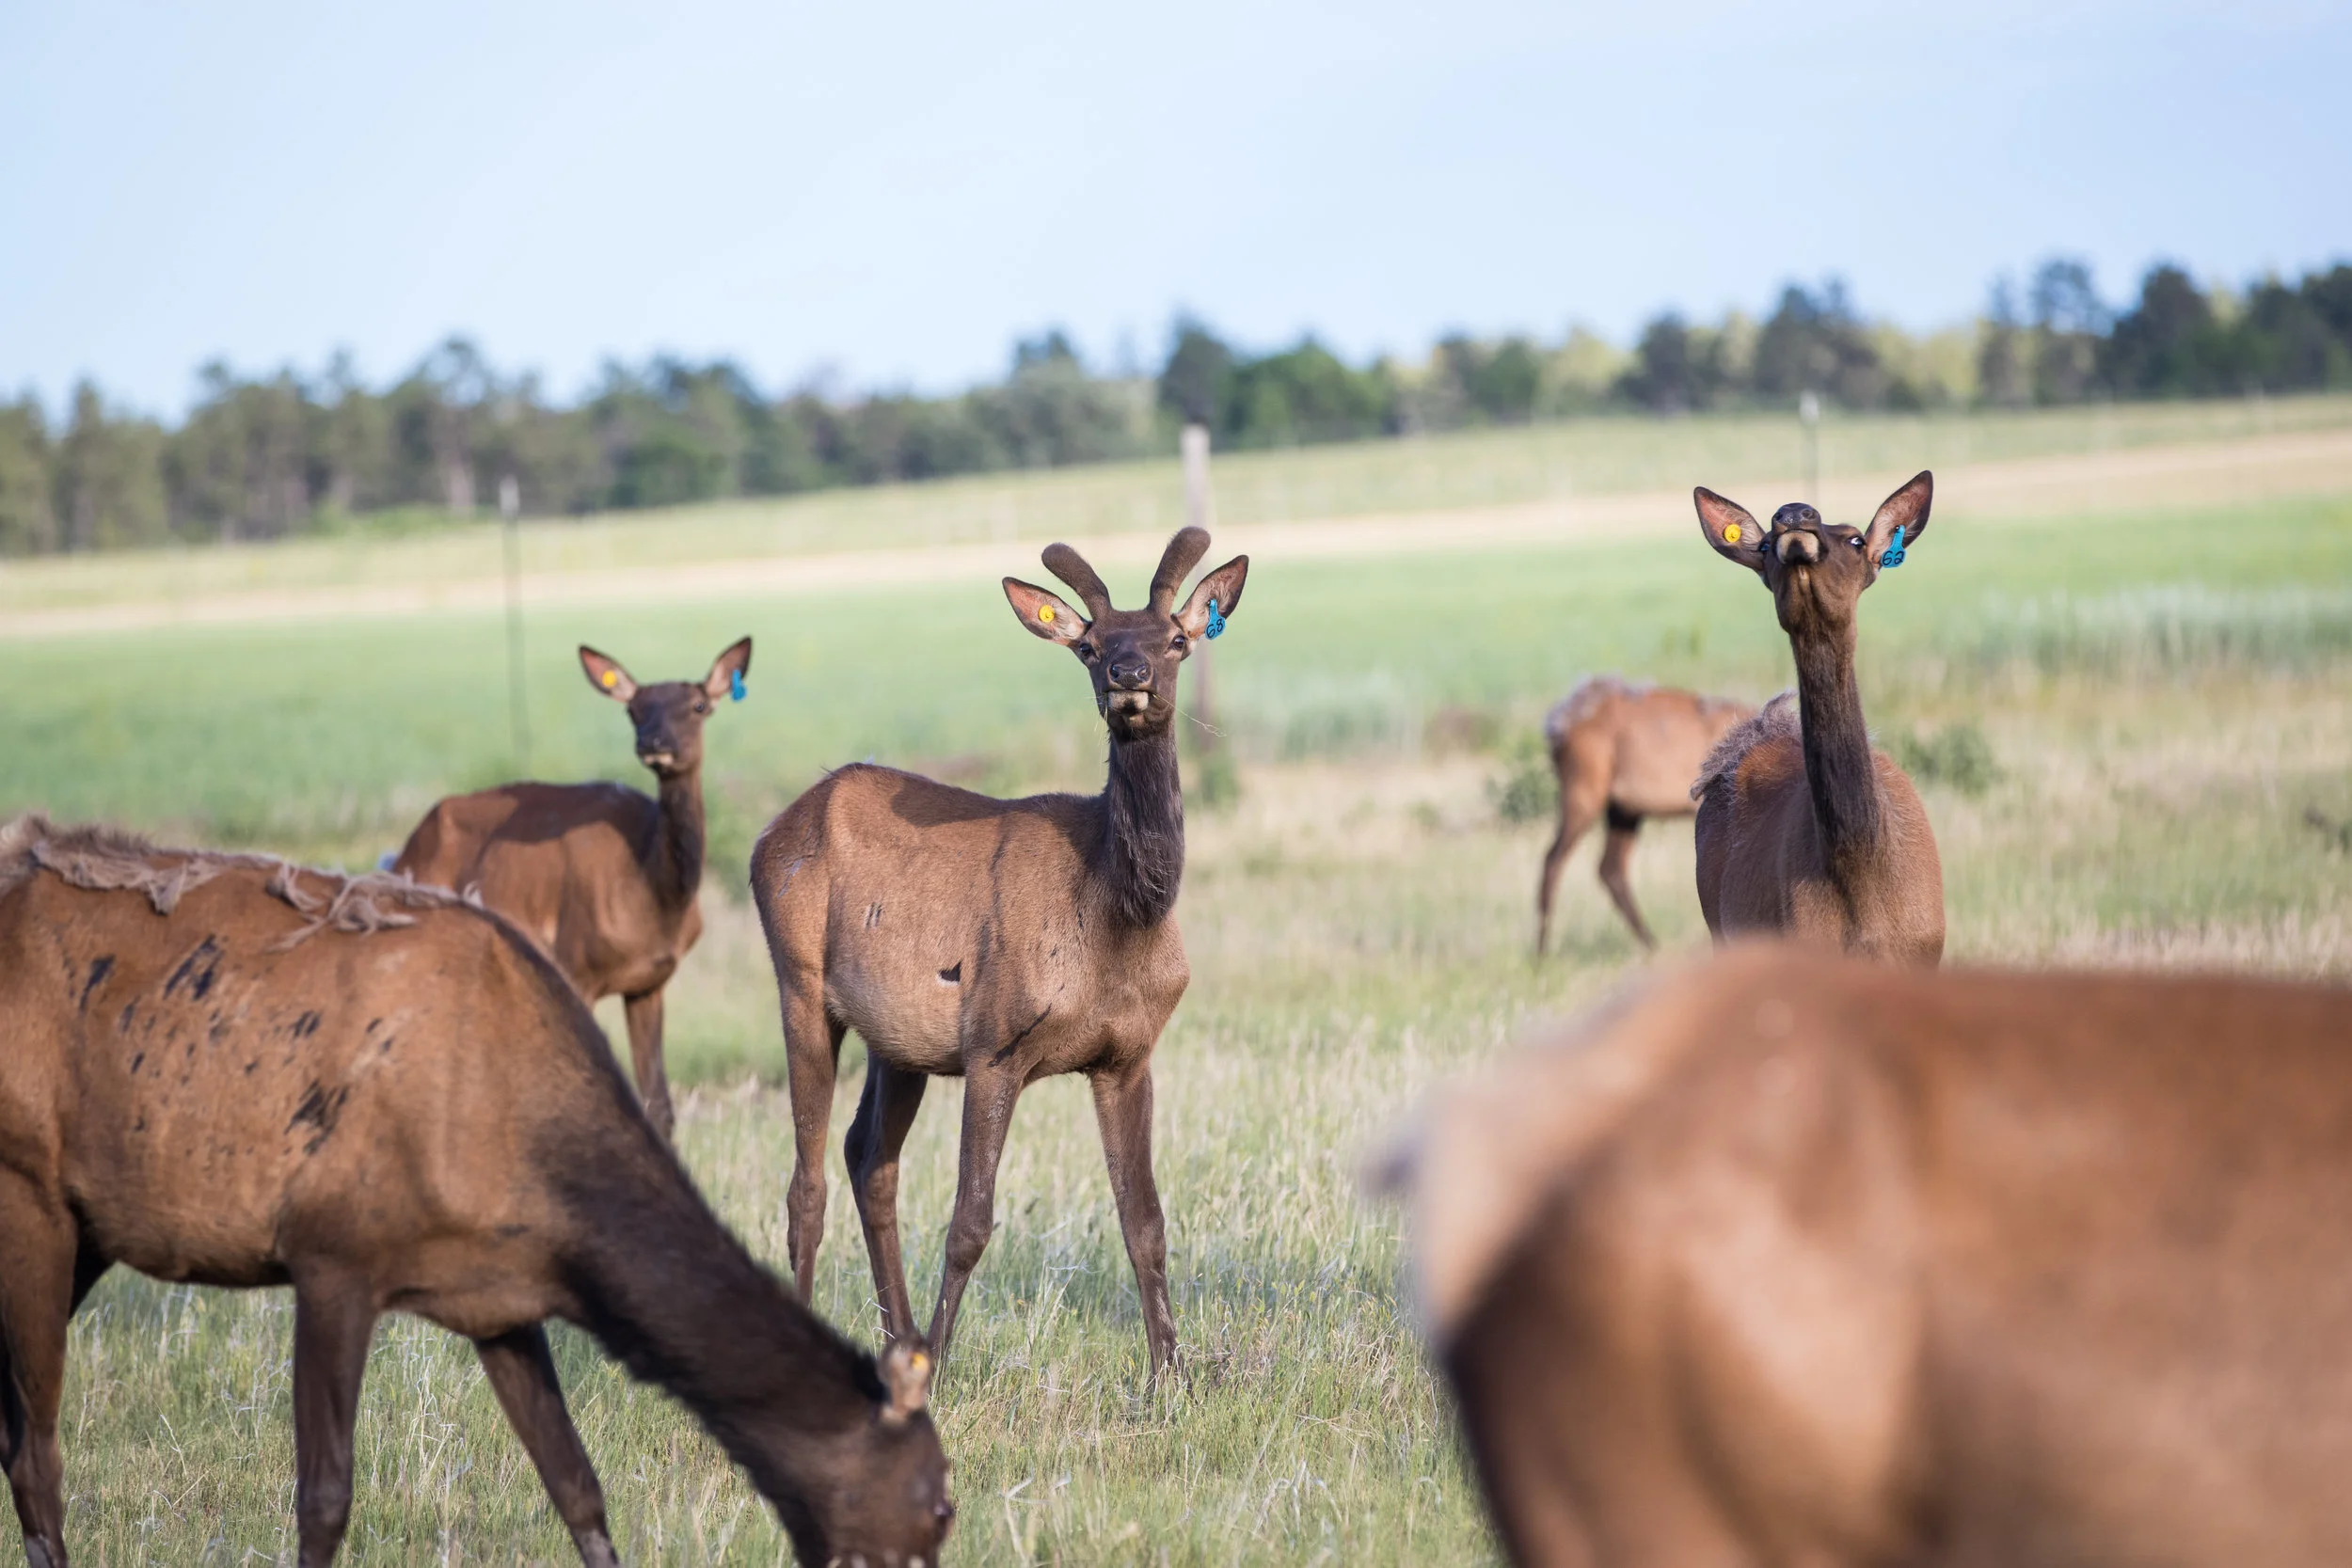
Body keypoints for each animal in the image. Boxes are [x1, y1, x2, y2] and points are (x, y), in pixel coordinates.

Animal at [0, 814, 952, 1568]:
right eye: (940, 1503)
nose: (942, 1515)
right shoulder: (334, 1256)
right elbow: (324, 1499)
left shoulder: (501, 1297)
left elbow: (579, 1486)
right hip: (29, 1189)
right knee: (37, 1451)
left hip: (86, 1227)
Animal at [392, 637, 752, 1139]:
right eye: (634, 710)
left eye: (699, 705)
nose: (654, 743)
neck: (655, 896)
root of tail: (404, 851)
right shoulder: (576, 962)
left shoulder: (650, 982)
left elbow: (659, 1104)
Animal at [750, 525, 1246, 1381]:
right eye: (1088, 645)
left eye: (1177, 638)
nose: (1130, 675)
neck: (1118, 916)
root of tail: (766, 838)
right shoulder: (994, 1041)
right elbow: (970, 1222)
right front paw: (942, 1366)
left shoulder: (1128, 1054)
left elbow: (1145, 1220)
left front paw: (1171, 1375)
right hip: (801, 986)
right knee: (805, 1187)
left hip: (898, 1040)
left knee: (867, 1158)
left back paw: (896, 1340)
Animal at [1534, 677, 1755, 956]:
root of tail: (1554, 726)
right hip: (1584, 790)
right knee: (1553, 859)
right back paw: (1541, 952)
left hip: (1624, 809)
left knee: (1609, 868)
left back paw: (1651, 945)